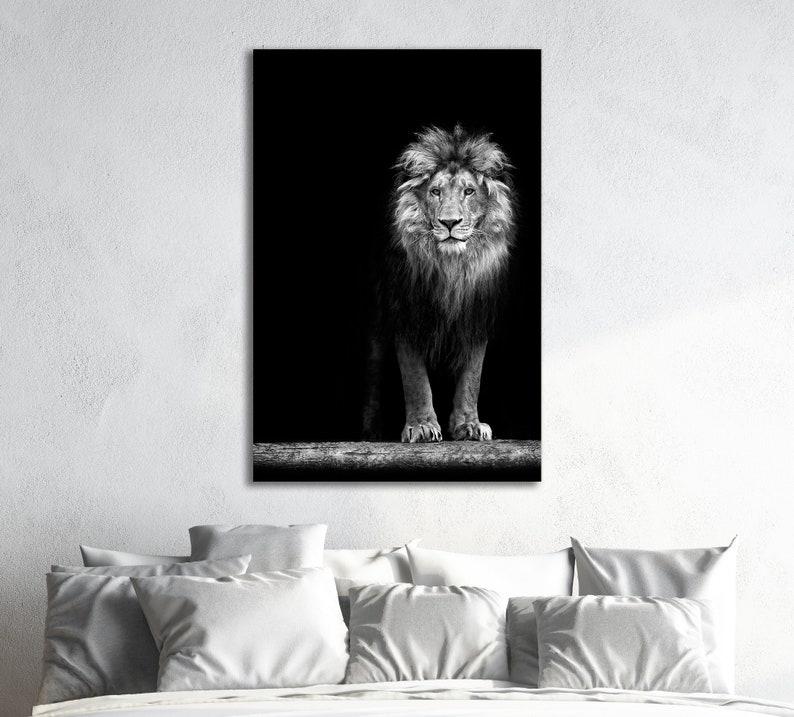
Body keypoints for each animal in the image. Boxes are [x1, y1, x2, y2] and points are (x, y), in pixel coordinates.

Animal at [362, 125, 517, 443]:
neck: (451, 269)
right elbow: (415, 378)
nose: (449, 223)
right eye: (435, 191)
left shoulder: (476, 316)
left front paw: (469, 425)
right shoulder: (406, 313)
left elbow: (472, 377)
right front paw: (421, 426)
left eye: (469, 191)